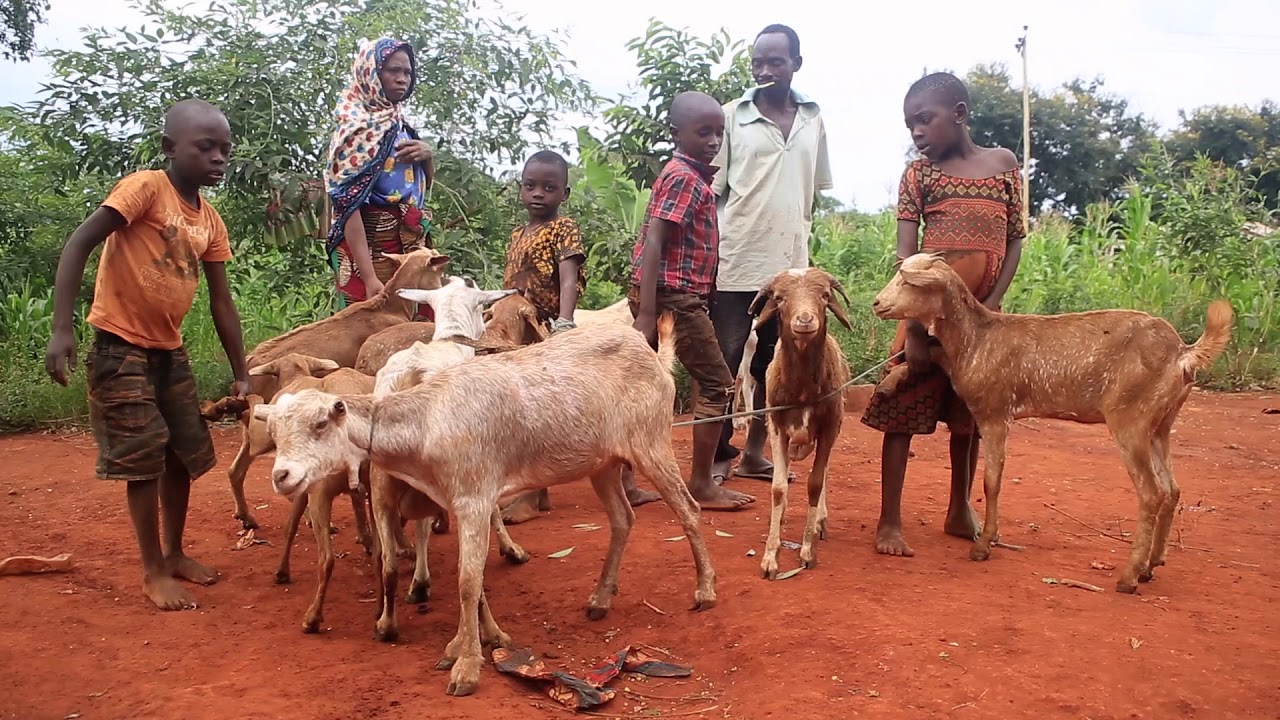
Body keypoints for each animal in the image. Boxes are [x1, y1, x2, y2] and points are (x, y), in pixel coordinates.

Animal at [253, 318, 710, 697]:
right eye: (274, 430)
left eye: (320, 424)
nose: (282, 476)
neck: (429, 418)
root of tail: (652, 354)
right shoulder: (455, 500)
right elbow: (467, 576)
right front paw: (464, 644)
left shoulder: (474, 497)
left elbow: (468, 581)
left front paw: (467, 666)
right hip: (603, 462)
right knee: (622, 518)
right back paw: (600, 599)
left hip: (651, 442)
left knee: (688, 511)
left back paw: (704, 591)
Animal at [750, 269, 853, 579]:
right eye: (780, 298)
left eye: (825, 295)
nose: (805, 320)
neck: (803, 391)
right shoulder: (776, 426)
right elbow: (778, 488)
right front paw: (770, 557)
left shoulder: (830, 426)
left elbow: (815, 483)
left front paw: (807, 551)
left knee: (825, 472)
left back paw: (820, 521)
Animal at [871, 252, 1233, 592]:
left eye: (907, 282)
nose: (876, 302)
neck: (978, 338)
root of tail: (1183, 352)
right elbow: (932, 355)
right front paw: (889, 381)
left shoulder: (995, 412)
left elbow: (991, 481)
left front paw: (984, 545)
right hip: (1161, 424)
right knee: (1171, 489)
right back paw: (1151, 564)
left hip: (1131, 419)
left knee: (1151, 493)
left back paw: (1129, 576)